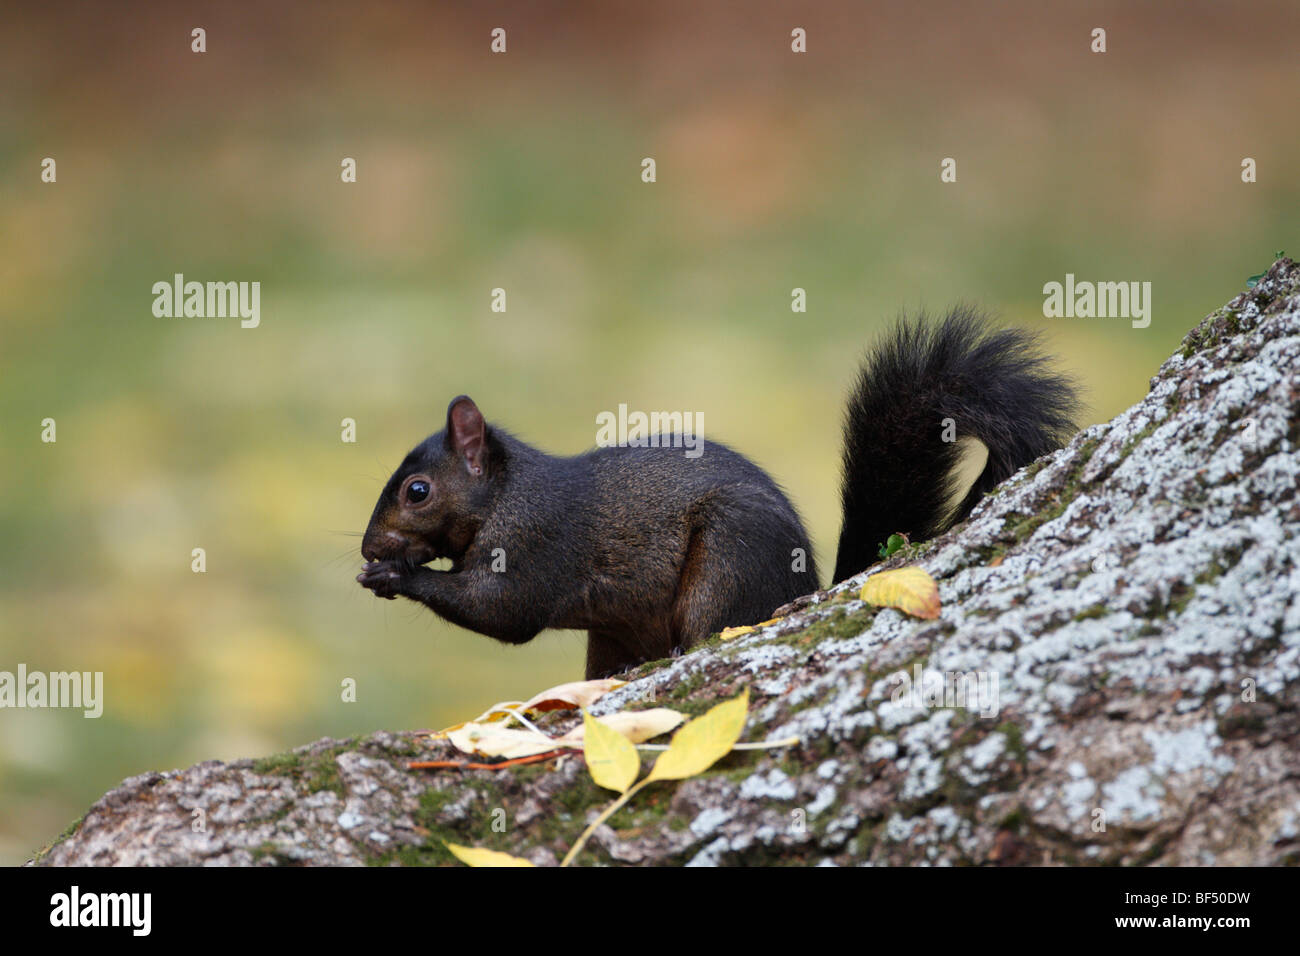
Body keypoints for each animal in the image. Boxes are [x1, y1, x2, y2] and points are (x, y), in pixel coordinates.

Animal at [358, 307, 1077, 678]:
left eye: (417, 491)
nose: (368, 547)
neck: (506, 493)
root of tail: (807, 584)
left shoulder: (533, 540)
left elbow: (502, 610)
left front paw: (396, 576)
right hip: (614, 634)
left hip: (728, 560)